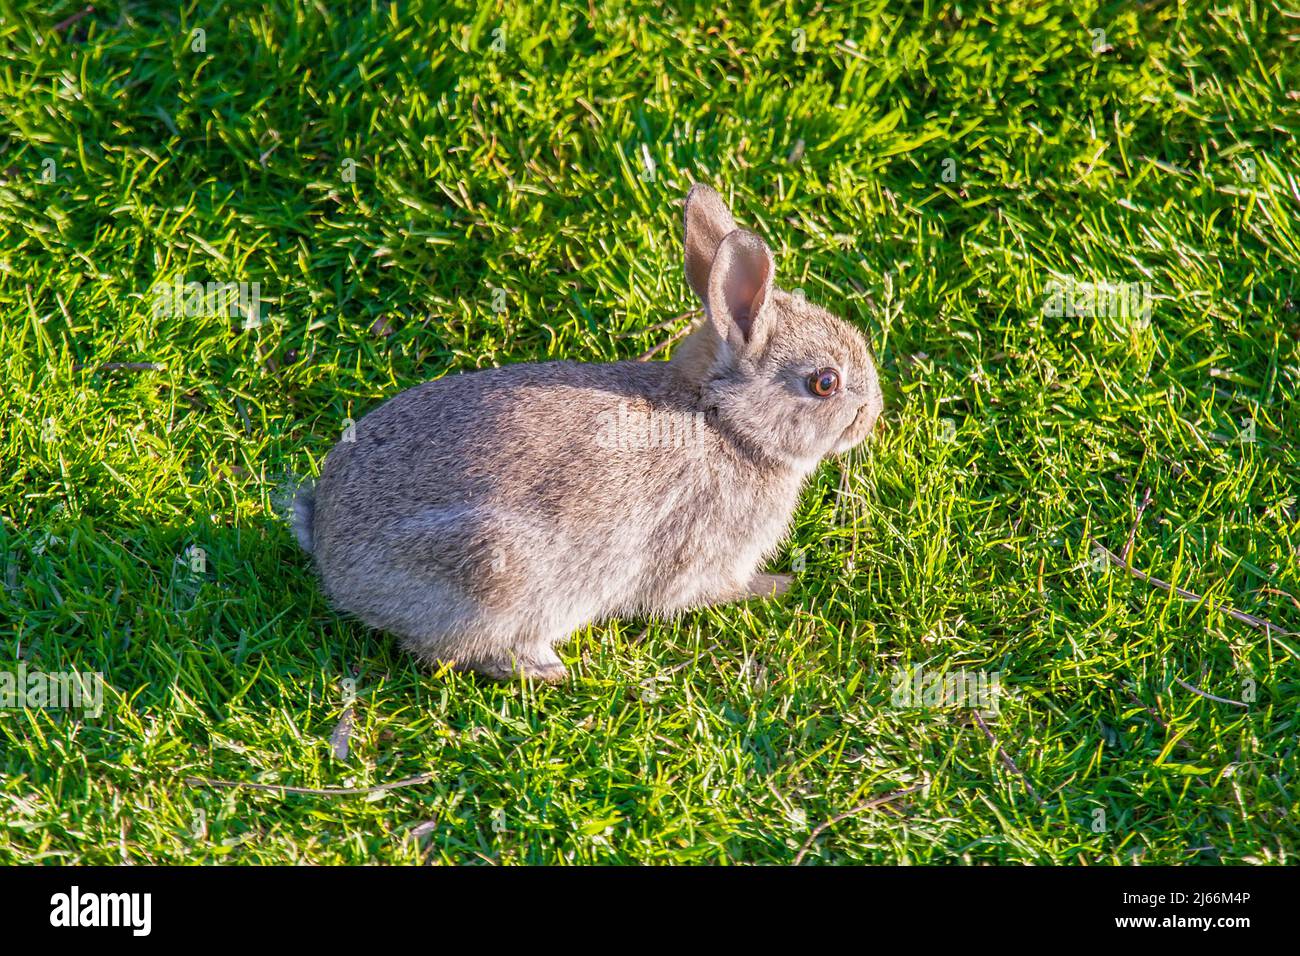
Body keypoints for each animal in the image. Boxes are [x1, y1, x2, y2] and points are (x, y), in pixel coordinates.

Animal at [294, 183, 883, 681]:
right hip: (496, 571)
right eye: (825, 382)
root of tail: (332, 557)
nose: (873, 412)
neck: (724, 420)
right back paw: (544, 668)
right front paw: (779, 586)